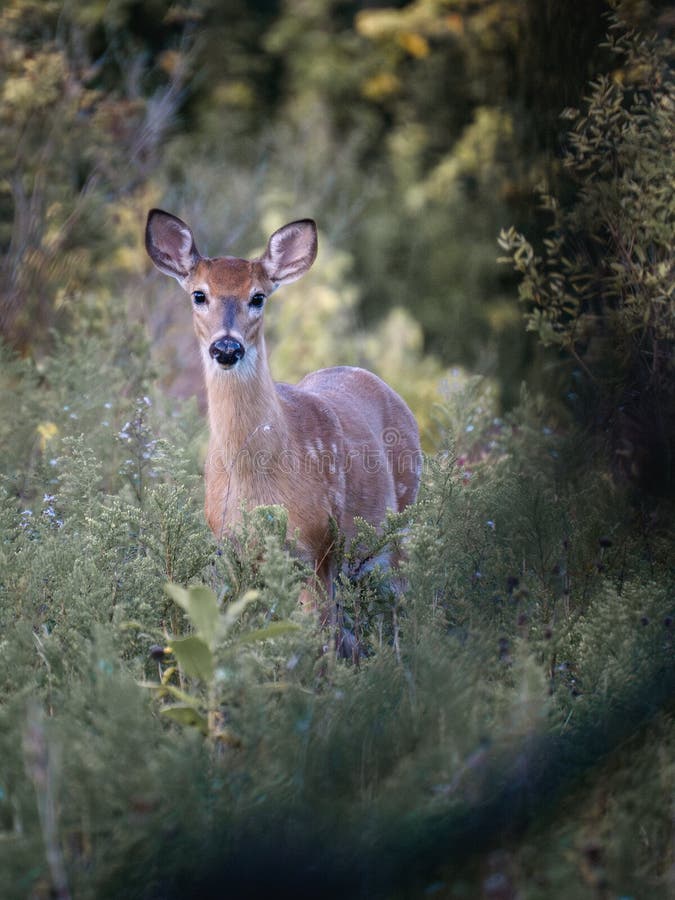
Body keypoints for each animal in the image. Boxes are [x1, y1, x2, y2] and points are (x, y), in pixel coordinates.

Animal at [145, 209, 421, 624]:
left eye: (257, 297)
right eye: (199, 295)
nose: (227, 347)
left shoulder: (318, 545)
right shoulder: (231, 551)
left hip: (403, 517)